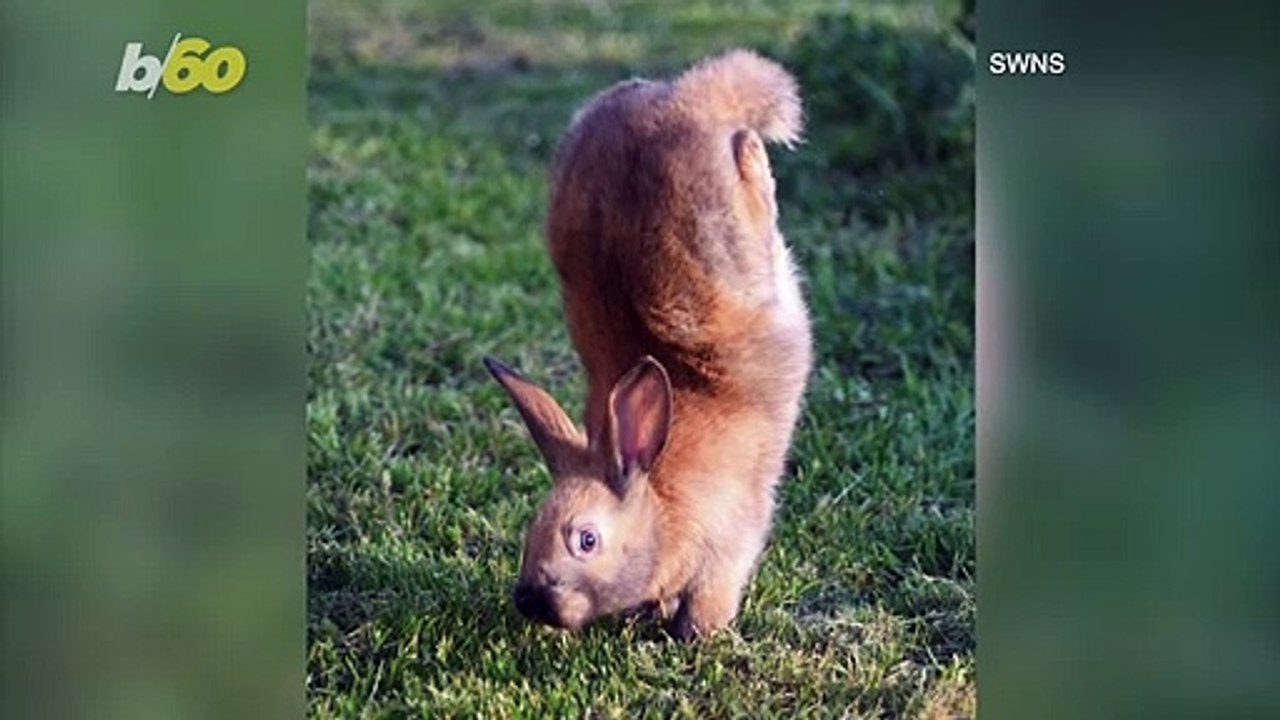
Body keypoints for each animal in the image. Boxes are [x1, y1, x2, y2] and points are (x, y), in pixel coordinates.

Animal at [485, 49, 812, 640]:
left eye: (587, 540)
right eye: (532, 526)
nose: (530, 601)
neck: (660, 502)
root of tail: (686, 99)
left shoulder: (727, 553)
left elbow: (709, 601)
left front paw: (694, 637)